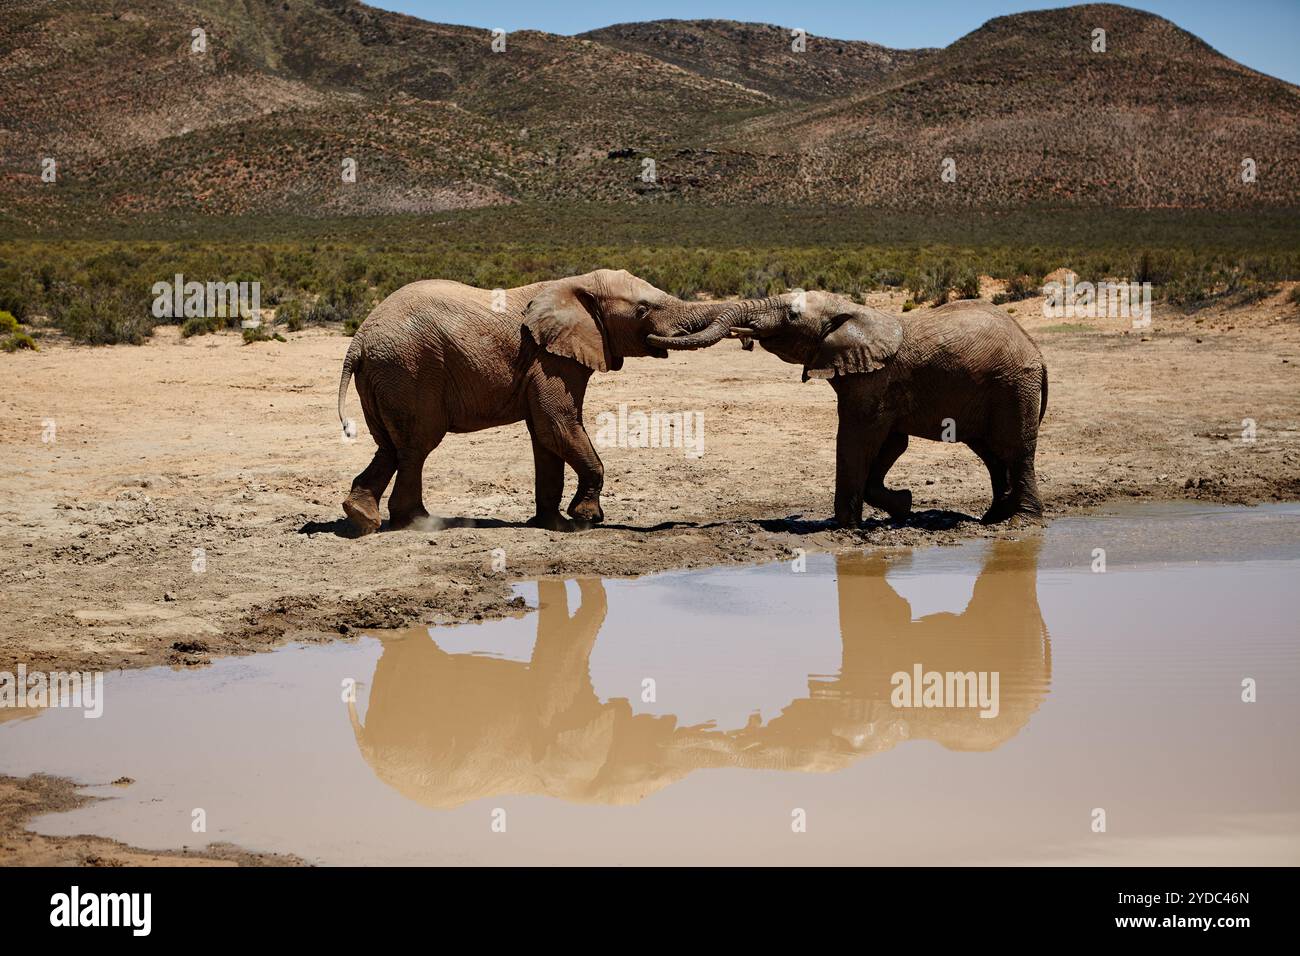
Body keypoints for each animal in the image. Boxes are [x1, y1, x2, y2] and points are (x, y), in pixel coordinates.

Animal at [335, 269, 728, 534]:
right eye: (643, 310)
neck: (579, 284)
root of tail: (358, 340)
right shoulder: (550, 358)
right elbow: (556, 423)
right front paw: (585, 520)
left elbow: (545, 435)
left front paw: (552, 524)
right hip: (410, 369)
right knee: (417, 445)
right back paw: (419, 522)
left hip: (387, 375)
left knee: (392, 446)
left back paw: (363, 518)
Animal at [648, 292, 1048, 525]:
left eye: (792, 316)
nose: (653, 336)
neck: (852, 311)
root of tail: (1036, 351)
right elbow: (890, 444)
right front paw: (902, 505)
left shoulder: (875, 379)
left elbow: (858, 439)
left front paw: (843, 527)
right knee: (992, 454)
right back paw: (992, 518)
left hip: (1014, 384)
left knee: (1015, 450)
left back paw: (1020, 523)